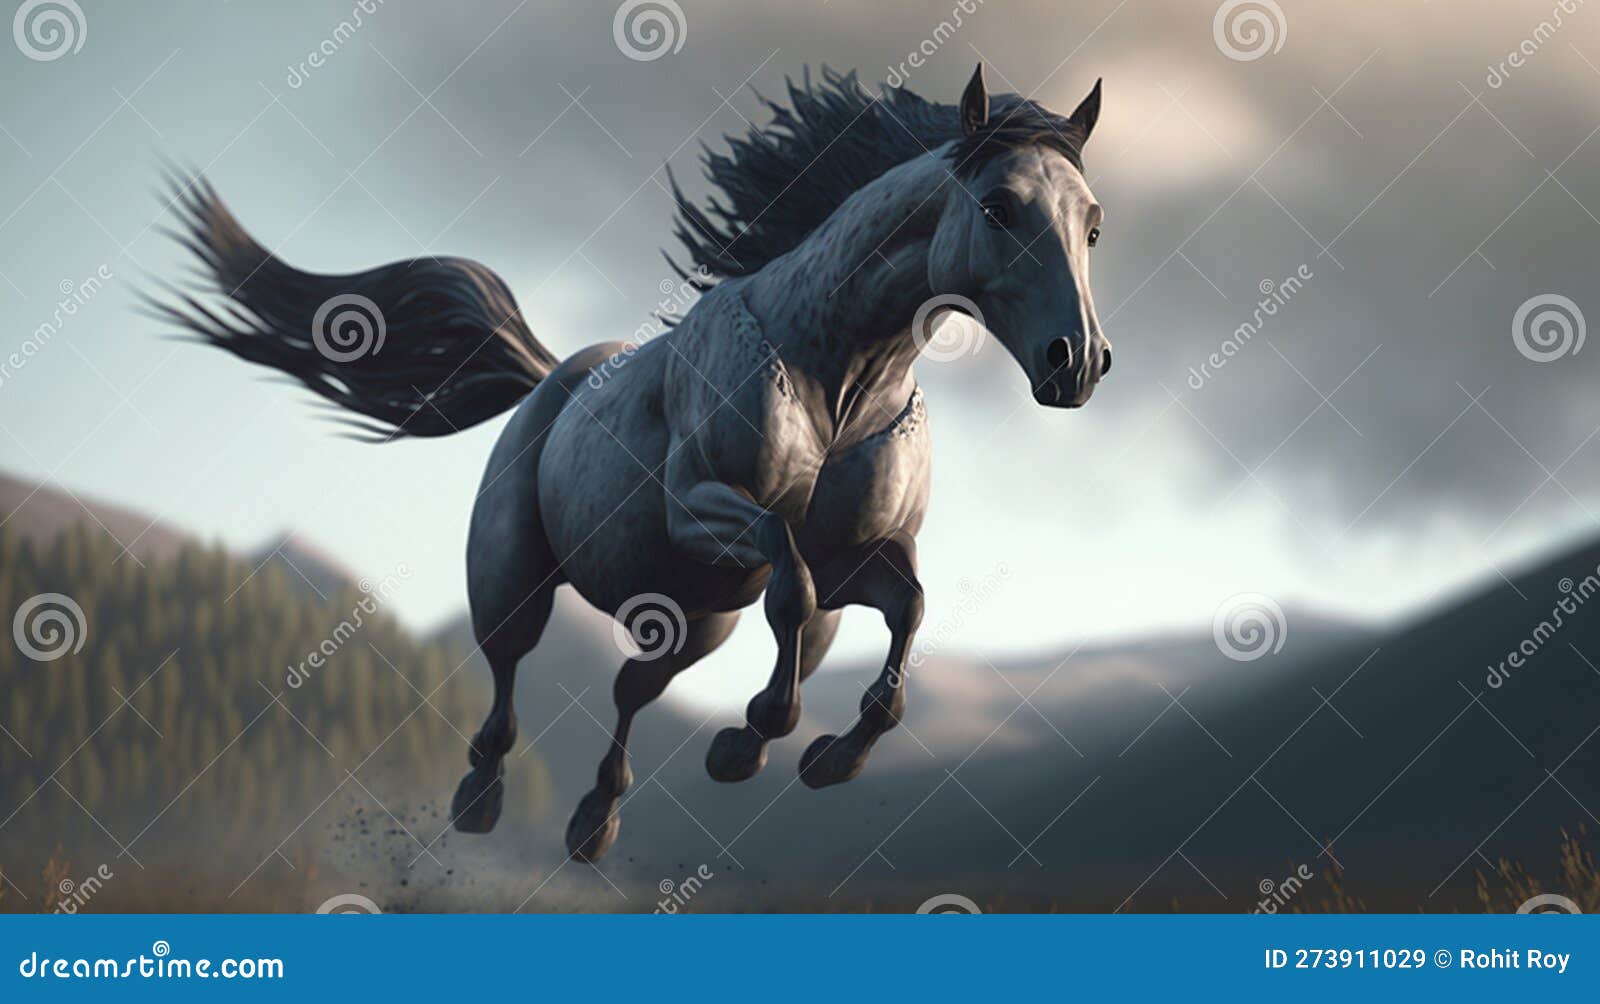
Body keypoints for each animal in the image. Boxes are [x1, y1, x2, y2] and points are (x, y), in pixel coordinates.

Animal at [156, 64, 1111, 863]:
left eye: (1093, 226)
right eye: (999, 206)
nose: (1078, 363)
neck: (839, 377)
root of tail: (550, 378)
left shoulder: (855, 560)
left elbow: (901, 612)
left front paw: (806, 756)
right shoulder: (702, 508)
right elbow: (791, 585)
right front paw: (764, 729)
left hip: (694, 618)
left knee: (629, 689)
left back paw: (598, 821)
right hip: (513, 572)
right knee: (508, 665)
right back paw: (481, 795)